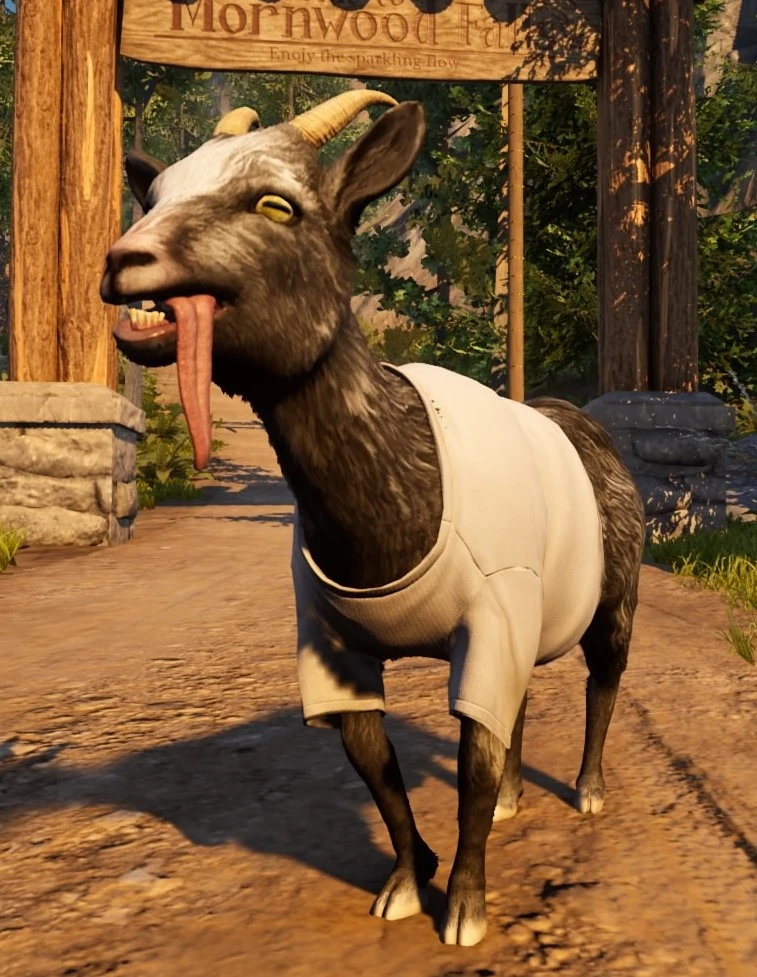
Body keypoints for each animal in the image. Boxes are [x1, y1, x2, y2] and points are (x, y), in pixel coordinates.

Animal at [100, 91, 646, 947]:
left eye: (275, 203)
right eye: (152, 197)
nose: (126, 259)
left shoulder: (492, 613)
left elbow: (470, 765)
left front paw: (463, 907)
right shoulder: (332, 645)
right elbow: (377, 766)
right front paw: (406, 878)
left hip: (613, 598)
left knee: (603, 680)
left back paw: (585, 788)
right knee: (518, 701)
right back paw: (517, 796)